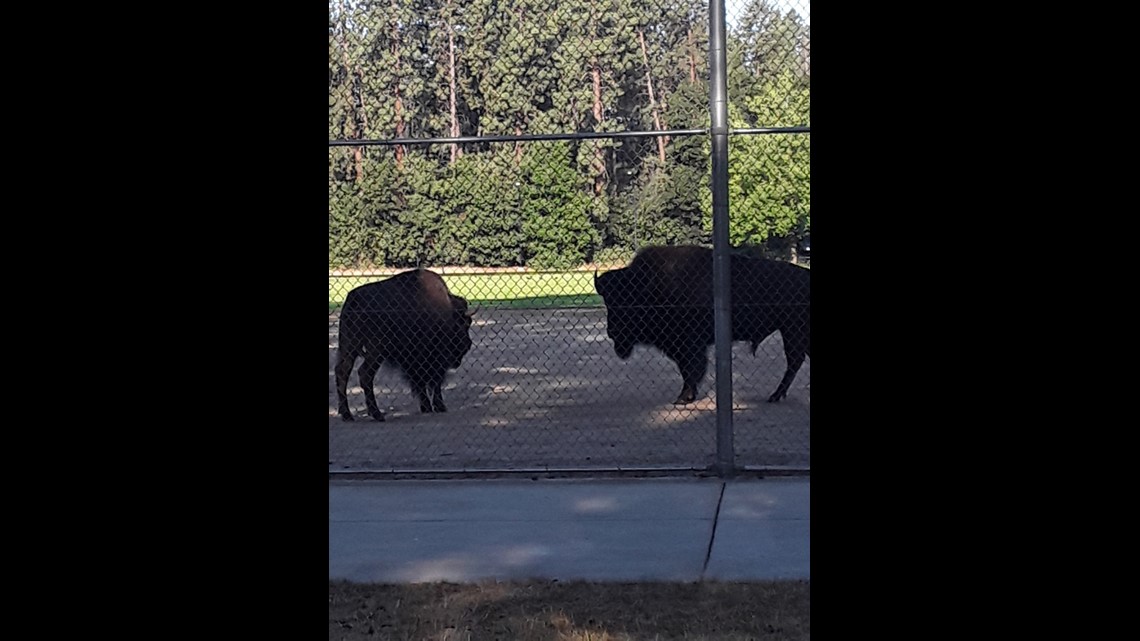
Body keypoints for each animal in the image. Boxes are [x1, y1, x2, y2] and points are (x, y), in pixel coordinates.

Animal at [334, 269, 475, 421]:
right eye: (465, 324)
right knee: (365, 374)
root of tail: (354, 300)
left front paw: (426, 407)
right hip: (375, 351)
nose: (468, 344)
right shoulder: (434, 357)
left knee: (342, 372)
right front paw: (439, 406)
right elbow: (434, 380)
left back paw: (347, 414)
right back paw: (377, 414)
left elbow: (422, 382)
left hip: (349, 346)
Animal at [594, 245, 810, 405]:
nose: (612, 332)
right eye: (608, 302)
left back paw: (774, 396)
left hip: (792, 331)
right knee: (797, 360)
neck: (653, 287)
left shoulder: (689, 344)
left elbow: (692, 368)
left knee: (794, 360)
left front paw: (683, 398)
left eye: (629, 301)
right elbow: (687, 370)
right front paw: (687, 396)